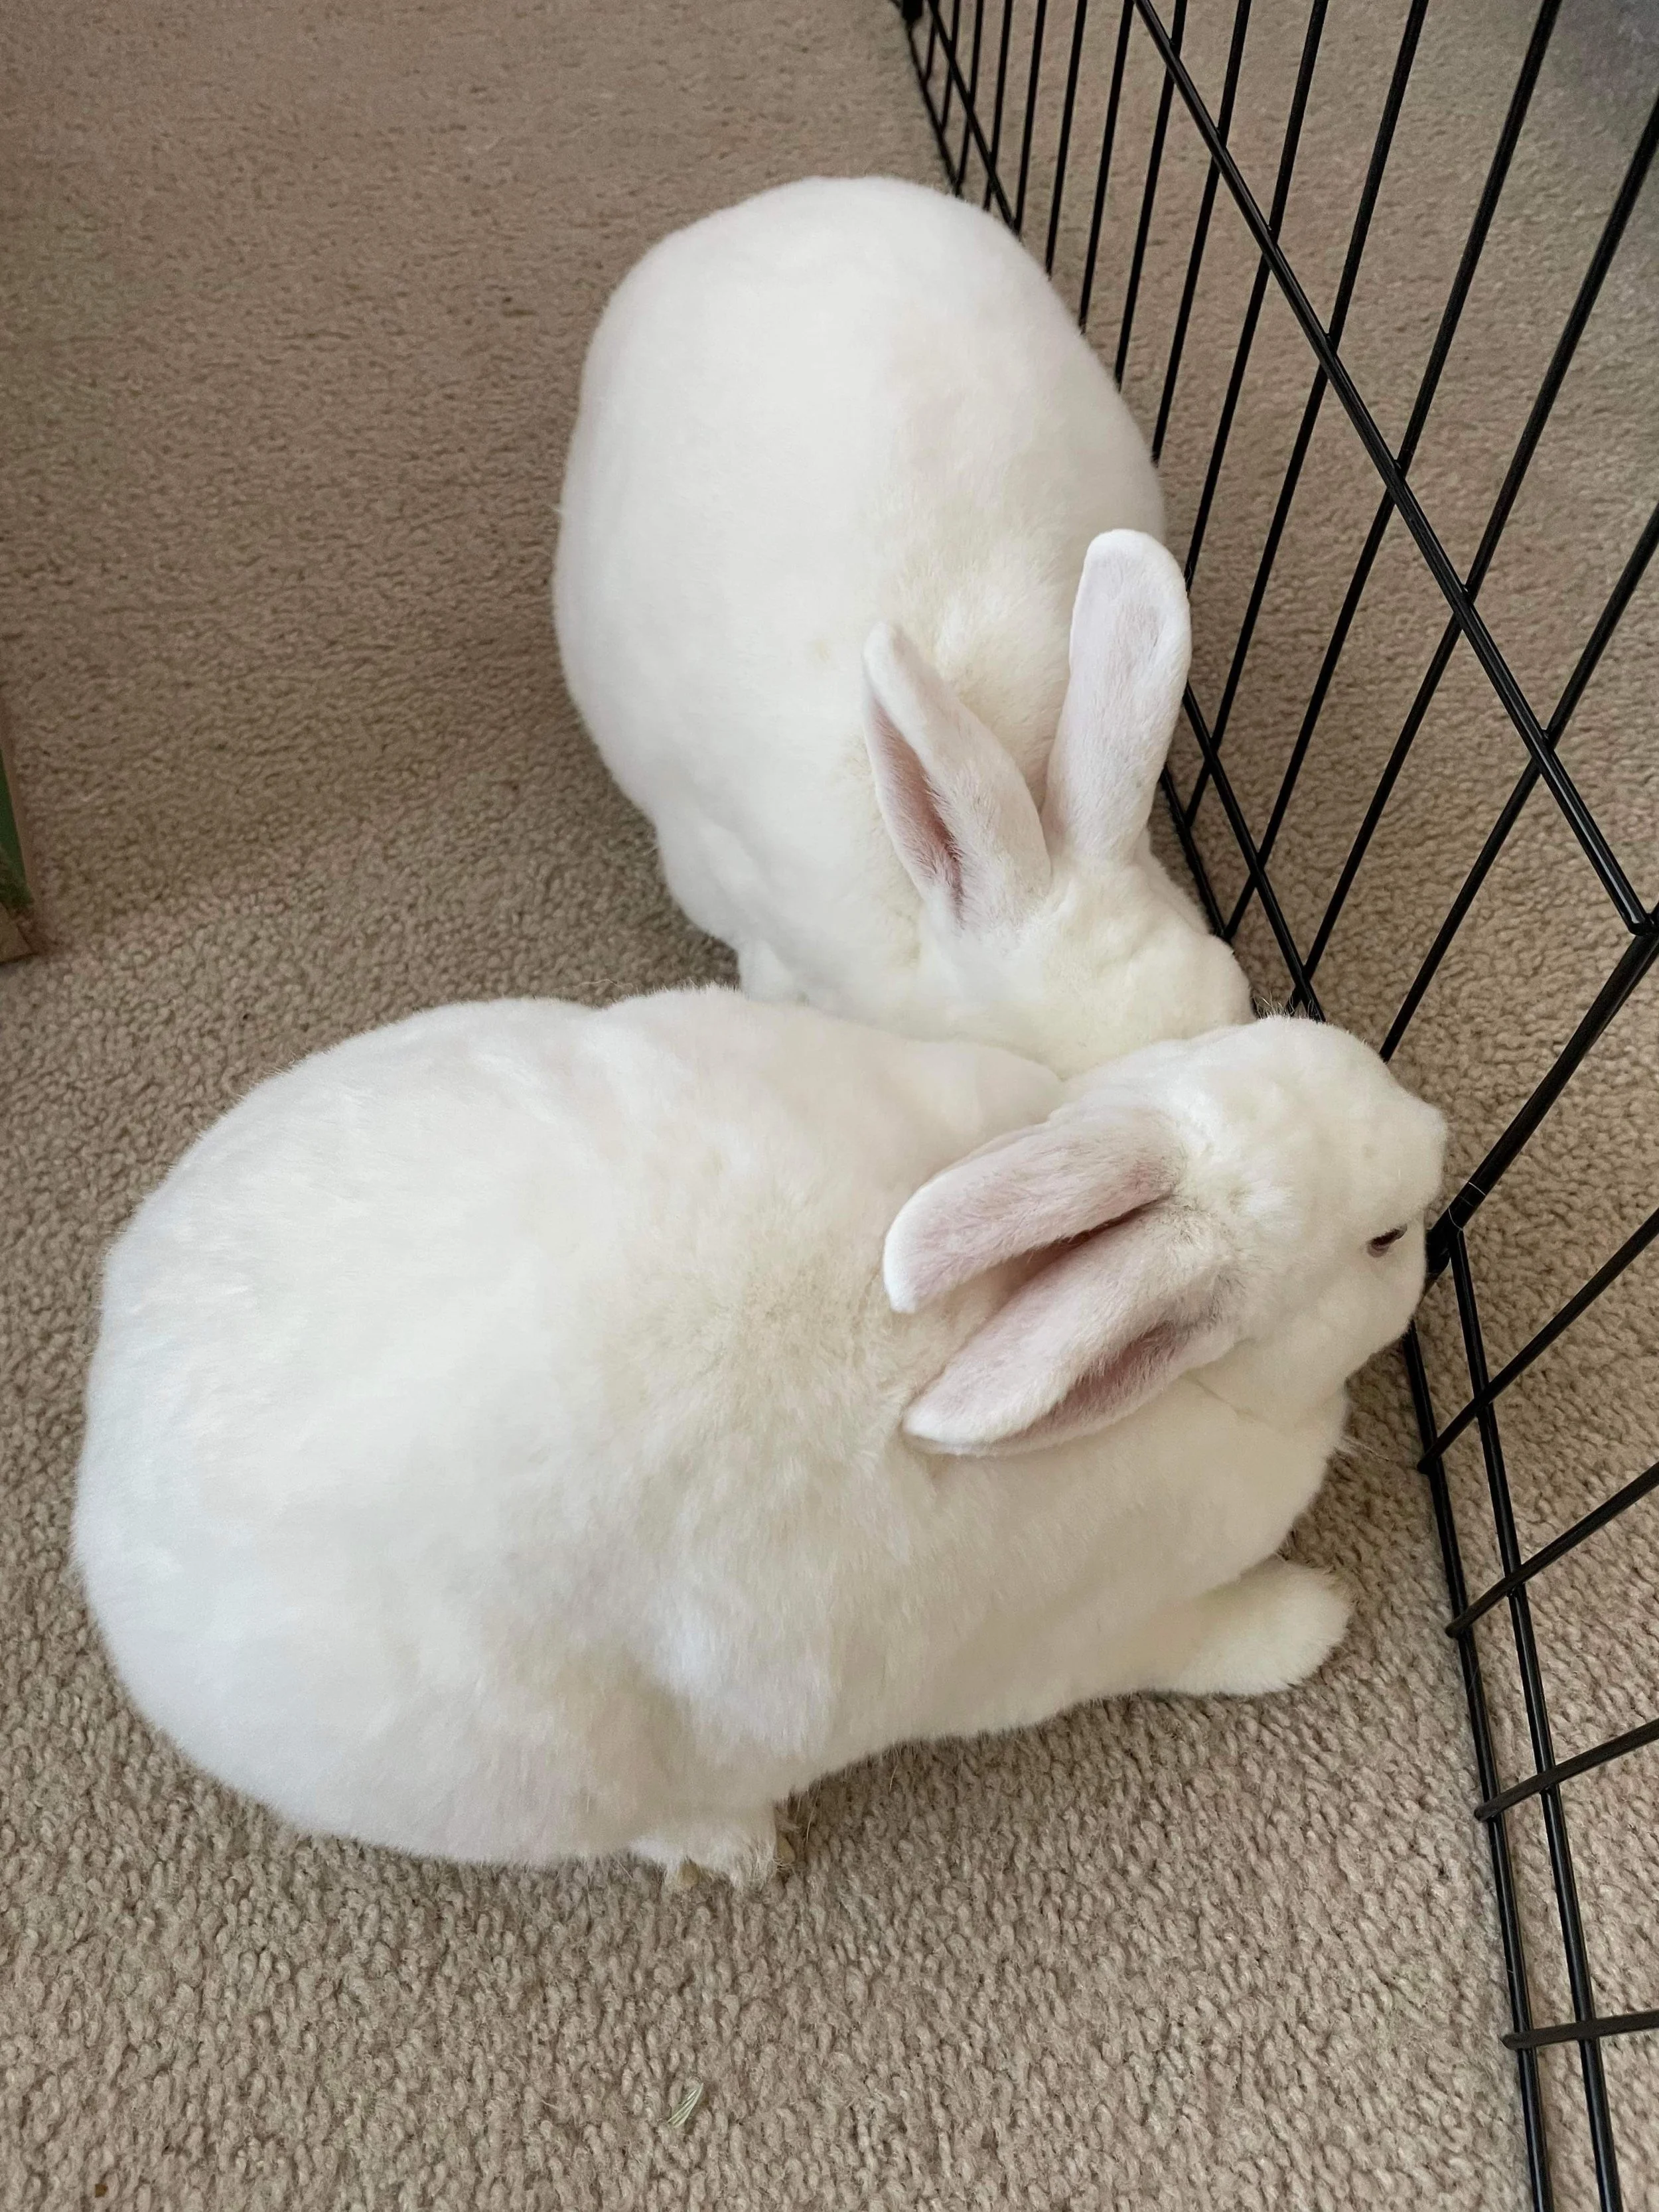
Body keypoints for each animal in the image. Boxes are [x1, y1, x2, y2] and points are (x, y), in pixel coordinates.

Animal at [74, 988, 1444, 1885]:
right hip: (532, 1765)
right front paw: (1314, 1617)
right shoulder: (1092, 1639)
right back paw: (732, 1844)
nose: (1434, 1129)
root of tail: (106, 1471)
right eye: (1386, 1239)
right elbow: (1214, 1642)